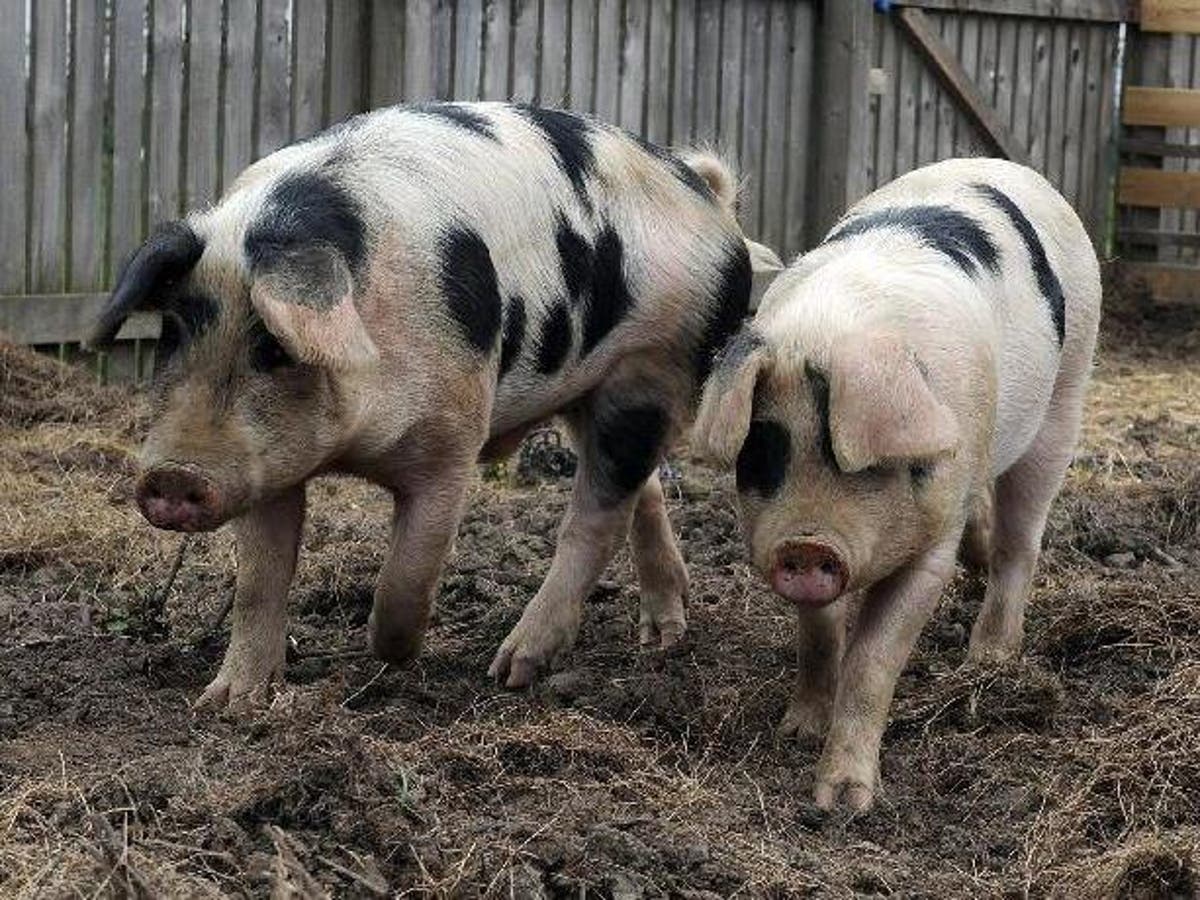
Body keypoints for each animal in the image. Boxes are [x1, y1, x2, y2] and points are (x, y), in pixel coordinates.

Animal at [88, 102, 751, 707]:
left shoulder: (450, 441)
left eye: (275, 347)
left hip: (647, 373)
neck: (354, 443)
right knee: (643, 488)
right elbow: (260, 577)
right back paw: (662, 635)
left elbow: (407, 574)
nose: (175, 475)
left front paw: (391, 653)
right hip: (588, 388)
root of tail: (709, 198)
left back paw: (510, 669)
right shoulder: (267, 463)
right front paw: (227, 703)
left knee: (598, 513)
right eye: (173, 334)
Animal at [692, 158, 1100, 811]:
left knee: (1022, 539)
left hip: (1068, 392)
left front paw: (844, 803)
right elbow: (819, 636)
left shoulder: (933, 546)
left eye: (859, 462)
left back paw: (988, 658)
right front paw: (795, 733)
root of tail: (1002, 164)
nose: (806, 545)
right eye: (763, 451)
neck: (830, 329)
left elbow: (874, 658)